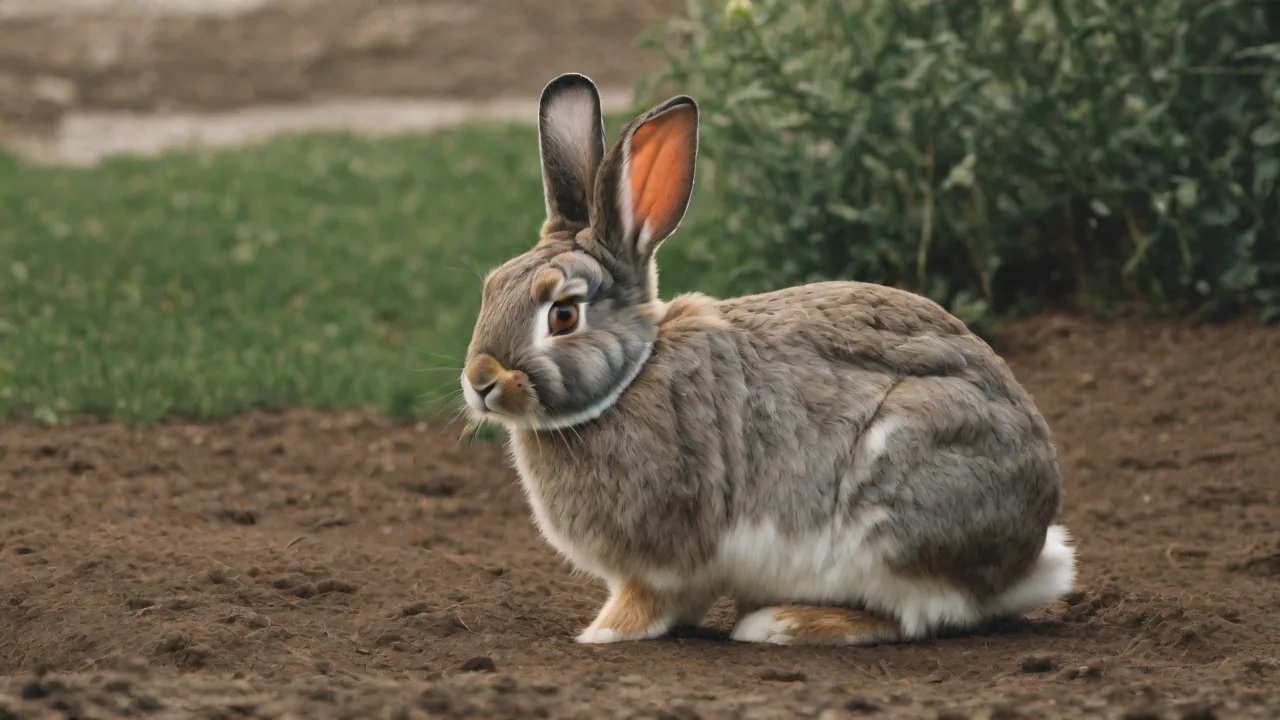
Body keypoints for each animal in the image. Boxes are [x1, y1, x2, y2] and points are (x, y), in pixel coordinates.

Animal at [459, 72, 1076, 646]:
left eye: (563, 315)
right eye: (490, 288)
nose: (480, 381)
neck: (629, 379)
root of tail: (1028, 559)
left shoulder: (667, 557)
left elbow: (649, 600)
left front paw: (603, 633)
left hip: (893, 518)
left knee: (918, 614)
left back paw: (782, 624)